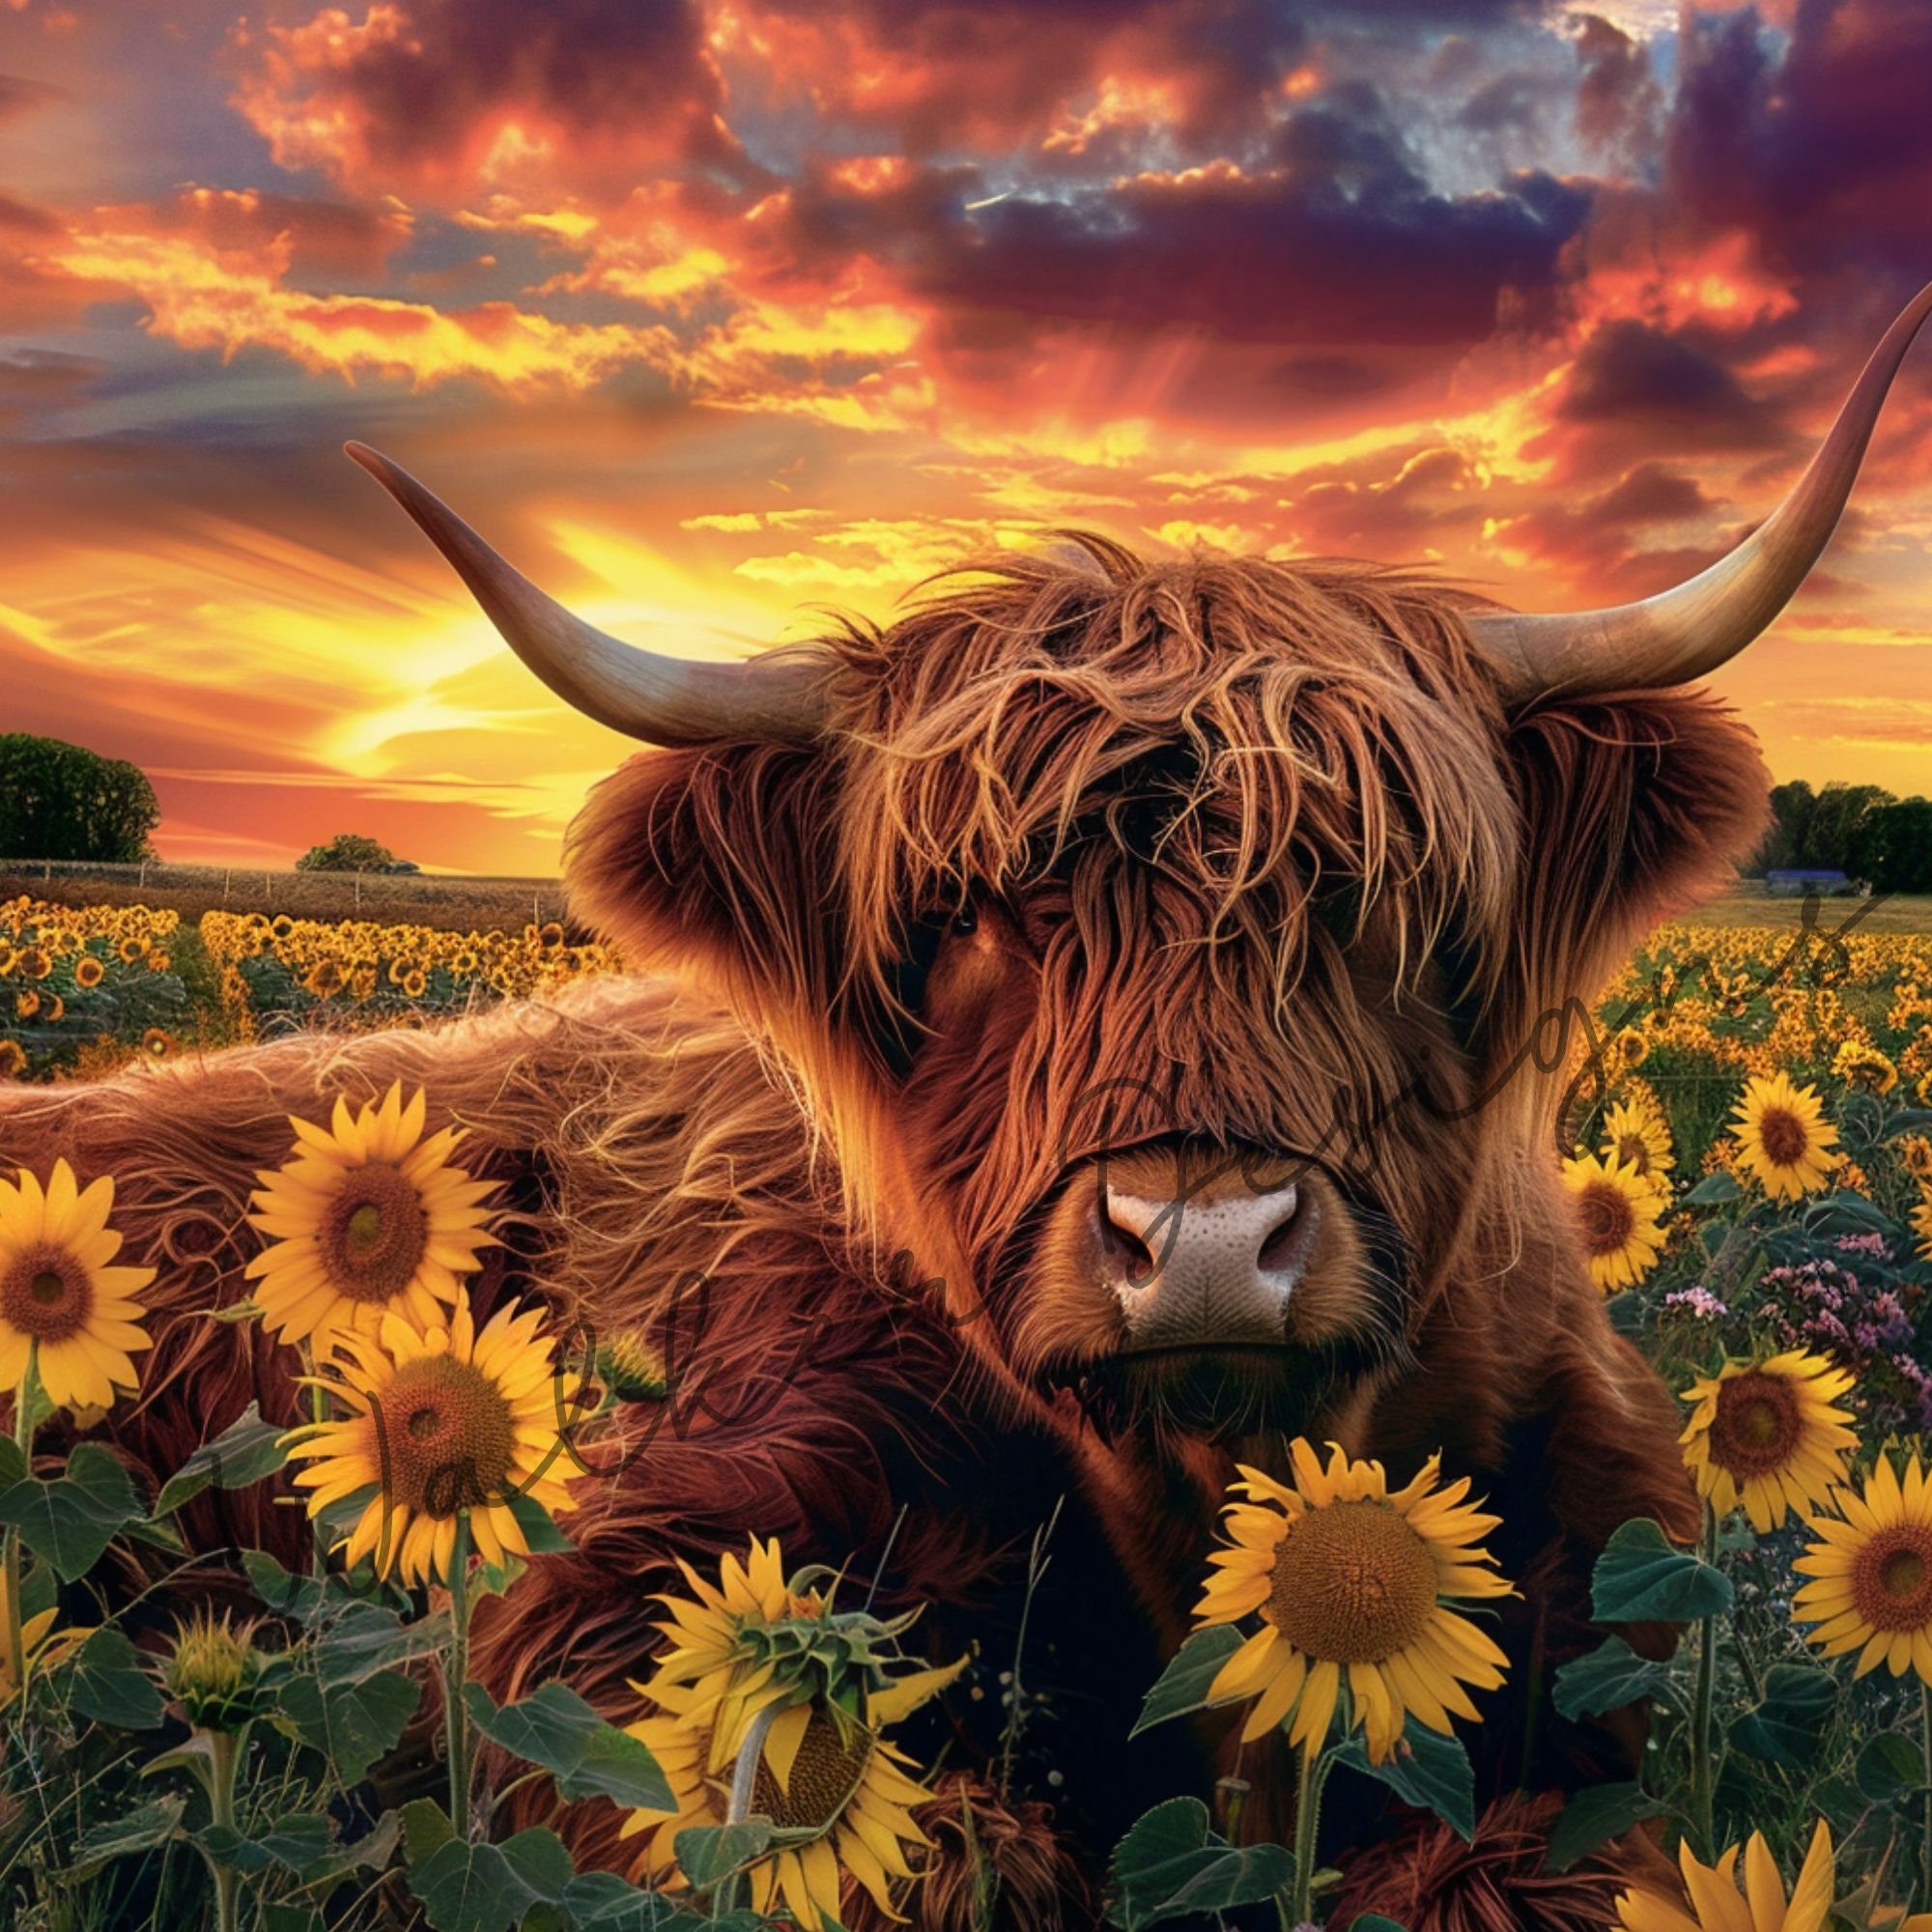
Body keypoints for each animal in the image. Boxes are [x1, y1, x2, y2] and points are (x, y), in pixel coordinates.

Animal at [6, 281, 1928, 1929]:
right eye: (966, 919)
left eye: (1378, 895)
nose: (1202, 1243)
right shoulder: (633, 1572)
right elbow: (914, 1845)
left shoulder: (1617, 1617)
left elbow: (1539, 1867)